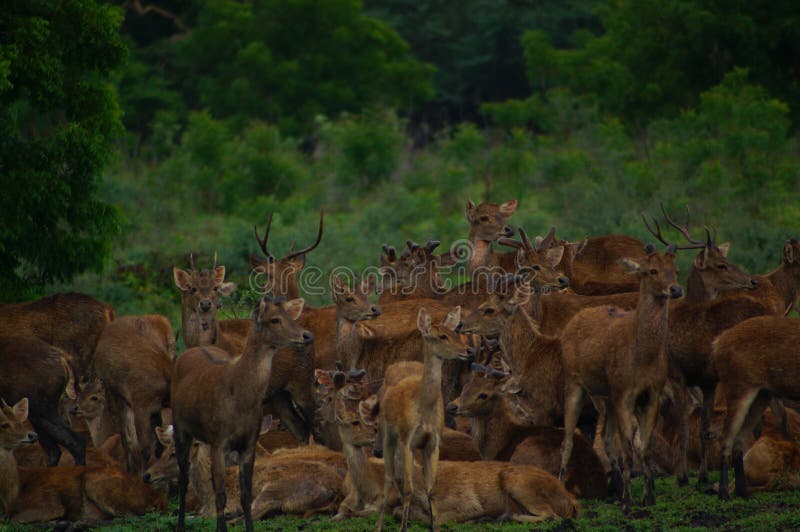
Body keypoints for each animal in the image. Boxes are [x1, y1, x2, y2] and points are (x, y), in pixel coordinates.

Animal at [0, 397, 166, 524]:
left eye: (17, 422)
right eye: (4, 424)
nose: (32, 435)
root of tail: (158, 496)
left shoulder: (49, 504)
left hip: (96, 484)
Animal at [171, 294, 312, 532]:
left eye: (290, 316)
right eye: (274, 319)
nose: (307, 335)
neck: (240, 400)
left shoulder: (248, 444)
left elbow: (246, 496)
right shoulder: (218, 442)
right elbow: (221, 496)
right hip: (180, 428)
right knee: (182, 479)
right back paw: (180, 525)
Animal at [376, 306, 469, 531]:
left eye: (455, 333)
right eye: (442, 336)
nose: (468, 350)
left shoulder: (433, 442)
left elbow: (431, 490)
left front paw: (434, 526)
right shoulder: (407, 439)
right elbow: (410, 488)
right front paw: (402, 528)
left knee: (399, 479)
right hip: (387, 434)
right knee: (390, 478)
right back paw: (379, 526)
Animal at [558, 241, 683, 513]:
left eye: (676, 269)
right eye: (651, 270)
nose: (676, 289)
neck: (642, 358)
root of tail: (572, 321)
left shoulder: (652, 394)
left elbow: (643, 447)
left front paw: (648, 497)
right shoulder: (624, 393)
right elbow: (627, 448)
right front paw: (628, 502)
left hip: (607, 395)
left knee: (606, 439)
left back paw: (614, 489)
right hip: (574, 383)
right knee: (568, 439)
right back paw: (561, 485)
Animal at [712, 315, 800, 499]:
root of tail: (716, 344)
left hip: (762, 394)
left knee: (739, 439)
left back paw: (742, 492)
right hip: (739, 387)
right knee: (726, 437)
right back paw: (724, 493)